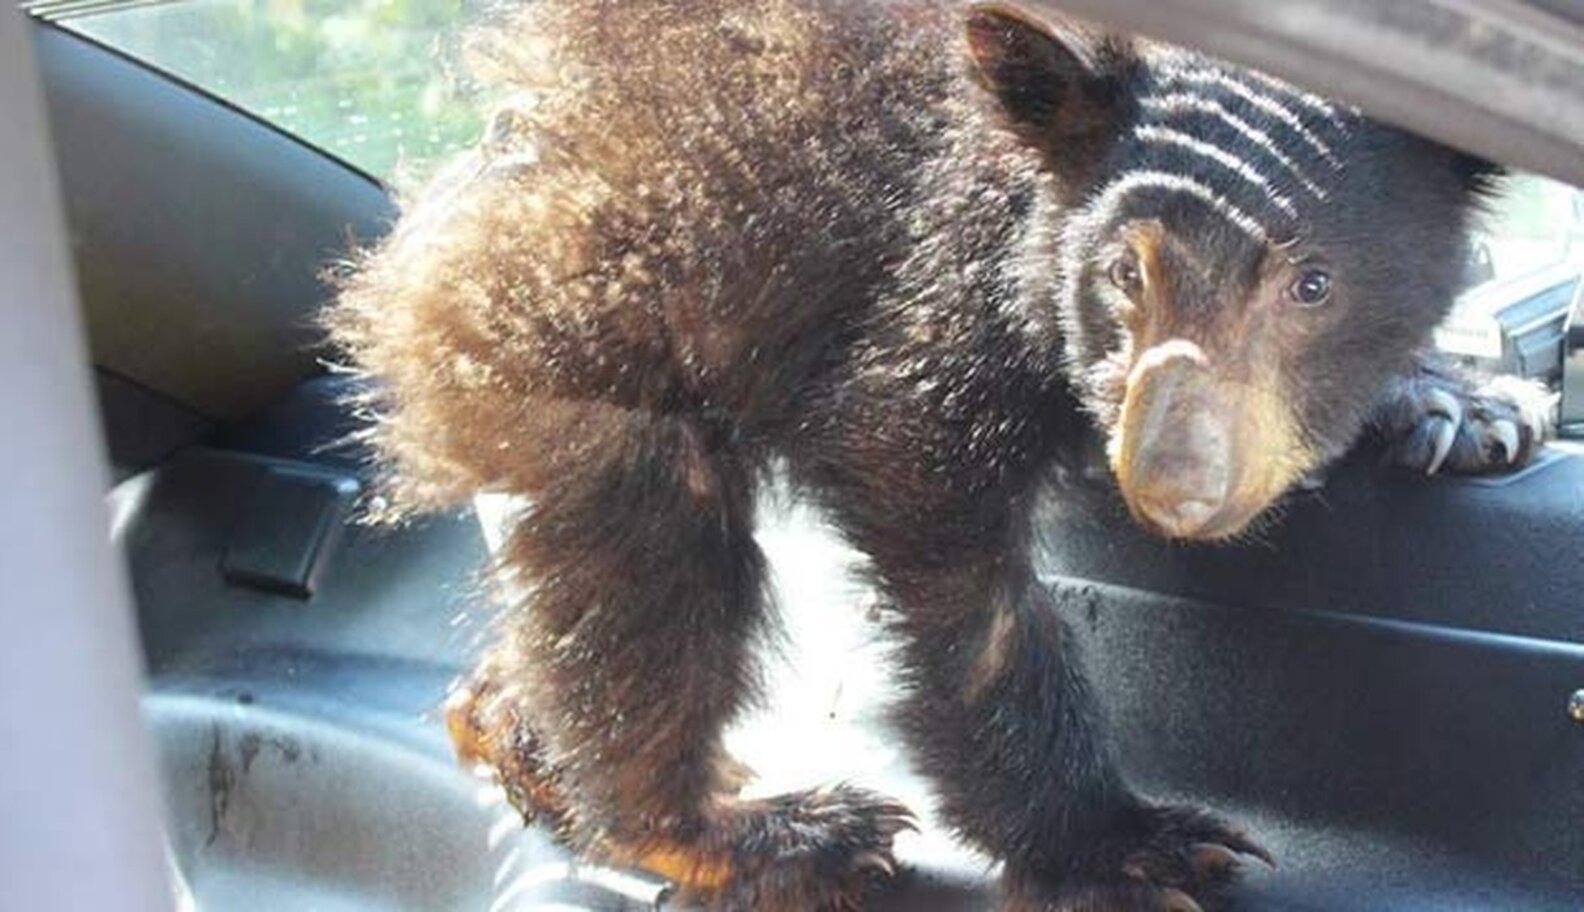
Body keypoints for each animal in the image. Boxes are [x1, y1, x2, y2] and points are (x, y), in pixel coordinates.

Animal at [325, 1, 1551, 909]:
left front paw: (1461, 405)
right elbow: (931, 503)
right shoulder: (941, 270)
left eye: (1311, 285)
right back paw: (748, 829)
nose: (1171, 485)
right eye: (1124, 272)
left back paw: (507, 734)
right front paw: (1122, 844)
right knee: (649, 570)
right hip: (565, 339)